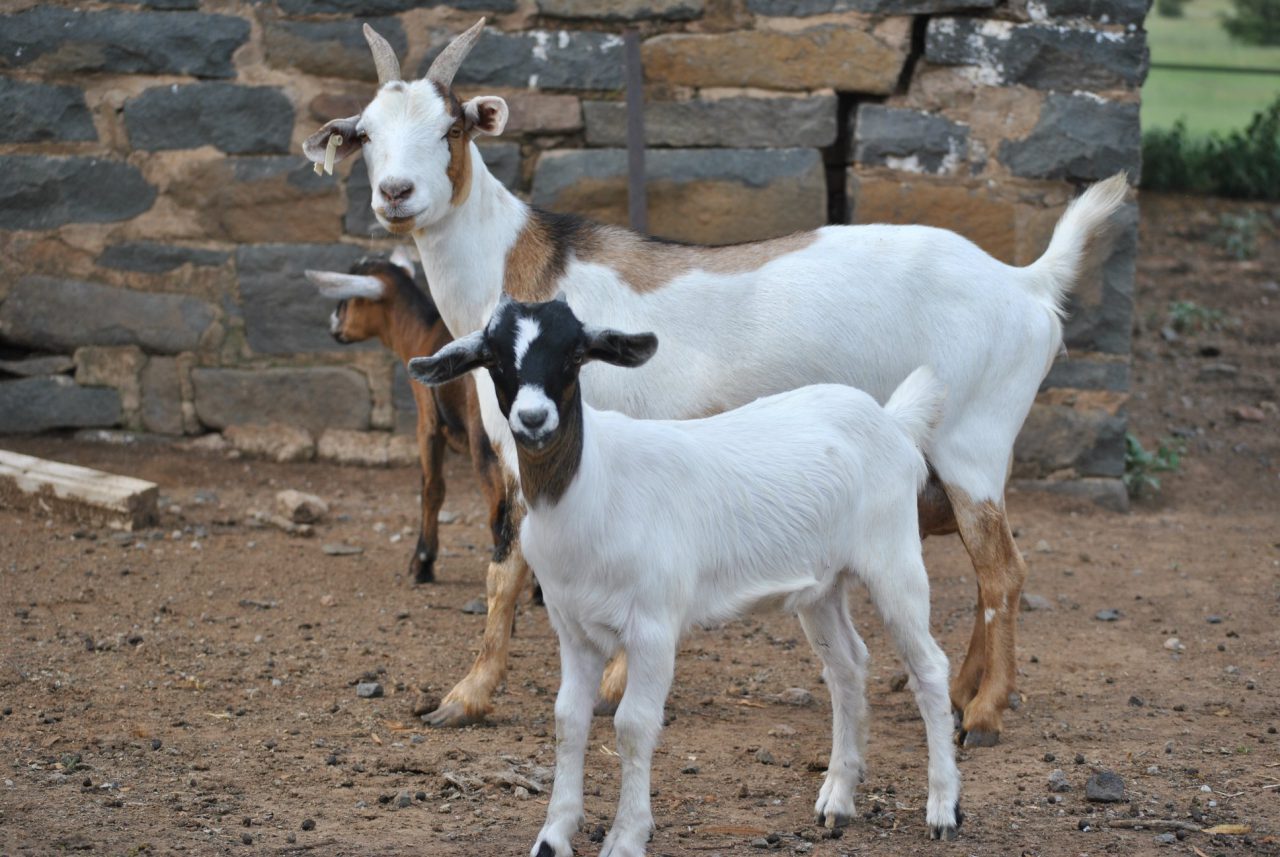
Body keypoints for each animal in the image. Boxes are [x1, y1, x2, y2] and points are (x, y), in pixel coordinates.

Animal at [305, 247, 509, 585]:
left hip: (488, 445)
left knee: (501, 514)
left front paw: (422, 562)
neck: (422, 332)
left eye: (347, 300)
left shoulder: (427, 422)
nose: (332, 325)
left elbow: (431, 487)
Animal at [410, 296, 963, 853]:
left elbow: (634, 725)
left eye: (574, 356)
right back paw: (837, 800)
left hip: (893, 556)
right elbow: (568, 719)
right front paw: (554, 835)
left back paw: (942, 809)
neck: (592, 487)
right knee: (847, 668)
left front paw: (626, 837)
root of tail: (891, 421)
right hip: (820, 588)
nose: (532, 418)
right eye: (495, 360)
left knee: (929, 667)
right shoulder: (572, 626)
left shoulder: (654, 625)